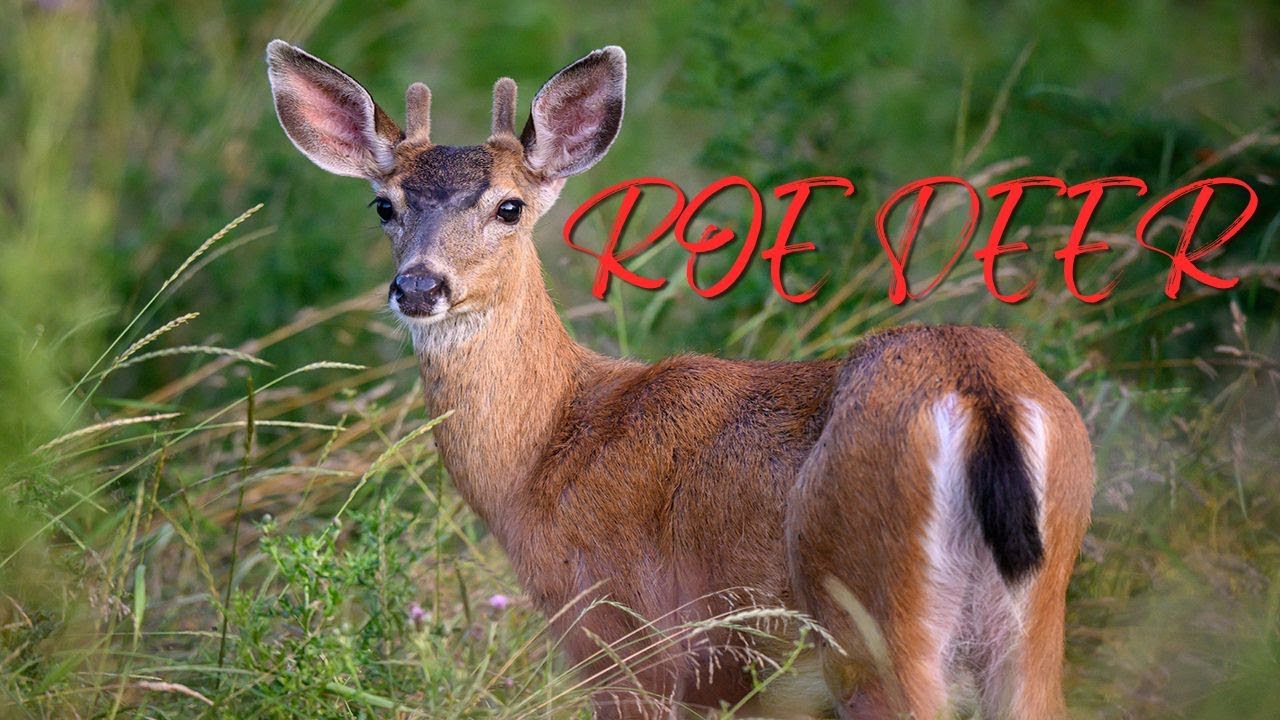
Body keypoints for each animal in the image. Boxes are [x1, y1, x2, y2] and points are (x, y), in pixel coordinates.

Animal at [265, 40, 1094, 719]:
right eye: (384, 205)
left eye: (509, 207)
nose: (418, 286)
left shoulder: (622, 643)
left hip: (871, 612)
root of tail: (981, 392)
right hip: (1030, 620)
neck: (543, 457)